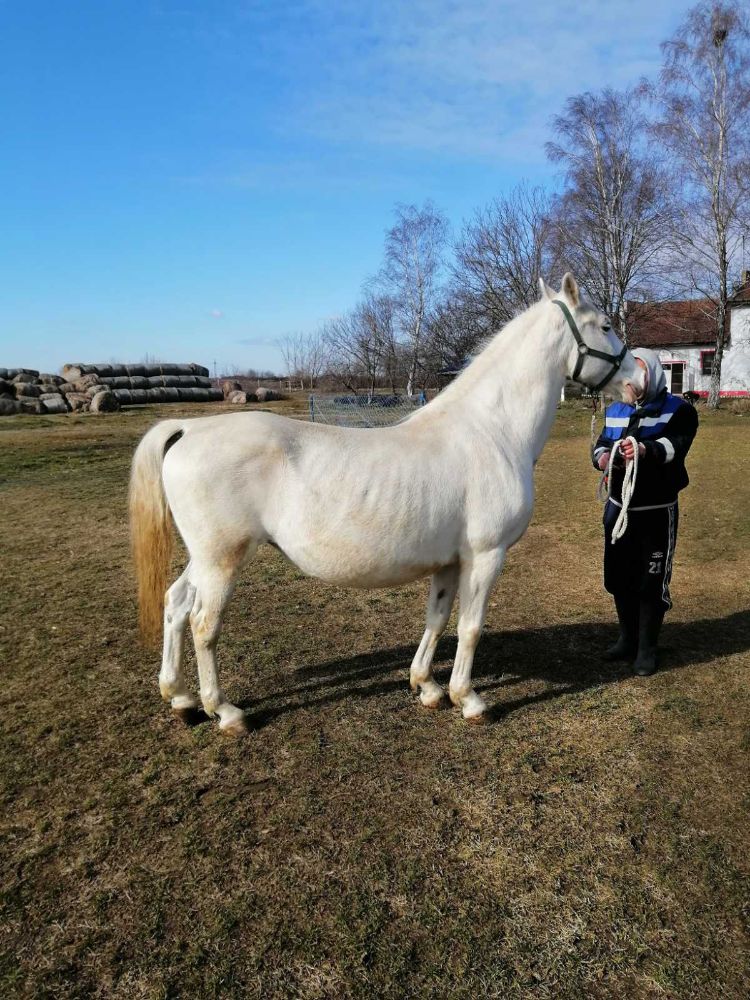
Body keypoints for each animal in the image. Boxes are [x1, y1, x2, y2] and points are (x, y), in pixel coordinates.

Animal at [129, 274, 648, 736]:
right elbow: (471, 626)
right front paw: (469, 699)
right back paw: (224, 711)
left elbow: (438, 619)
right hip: (222, 559)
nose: (641, 380)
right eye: (605, 325)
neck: (492, 431)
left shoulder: (450, 561)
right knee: (203, 624)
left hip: (202, 558)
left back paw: (180, 698)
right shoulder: (485, 555)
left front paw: (428, 688)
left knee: (176, 604)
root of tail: (189, 430)